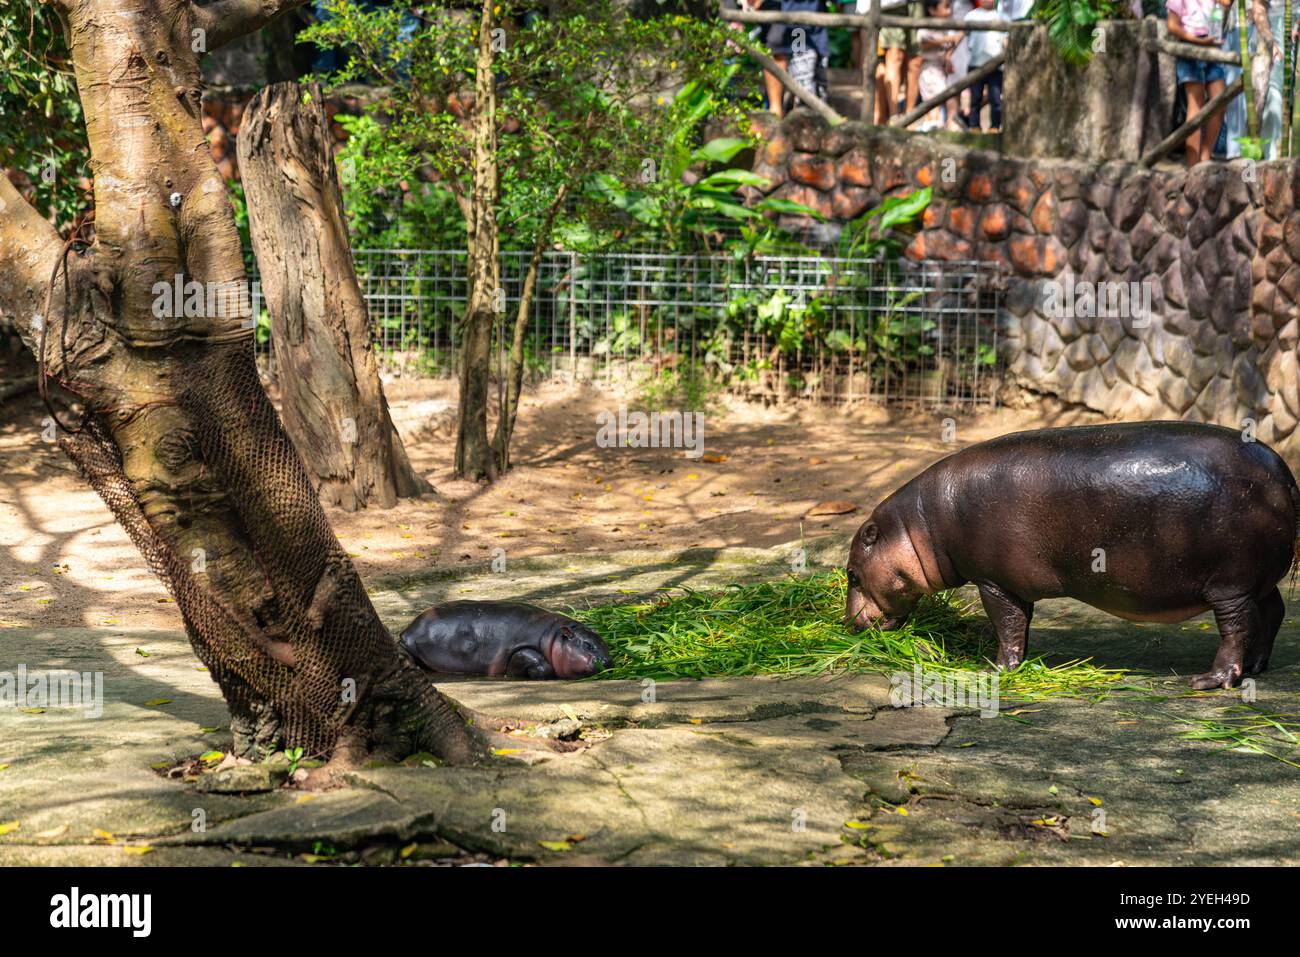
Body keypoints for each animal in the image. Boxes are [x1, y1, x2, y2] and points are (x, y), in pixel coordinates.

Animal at [399, 601, 613, 679]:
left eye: (604, 642)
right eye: (587, 645)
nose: (607, 661)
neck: (553, 637)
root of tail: (408, 629)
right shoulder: (521, 649)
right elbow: (539, 663)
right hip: (411, 646)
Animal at [844, 422, 1300, 689]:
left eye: (850, 574)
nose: (847, 624)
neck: (918, 526)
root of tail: (1284, 473)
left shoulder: (993, 581)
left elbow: (1007, 625)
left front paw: (994, 670)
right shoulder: (1014, 583)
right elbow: (1021, 625)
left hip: (1229, 585)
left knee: (1238, 627)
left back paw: (1209, 680)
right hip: (1257, 579)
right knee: (1272, 611)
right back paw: (1257, 666)